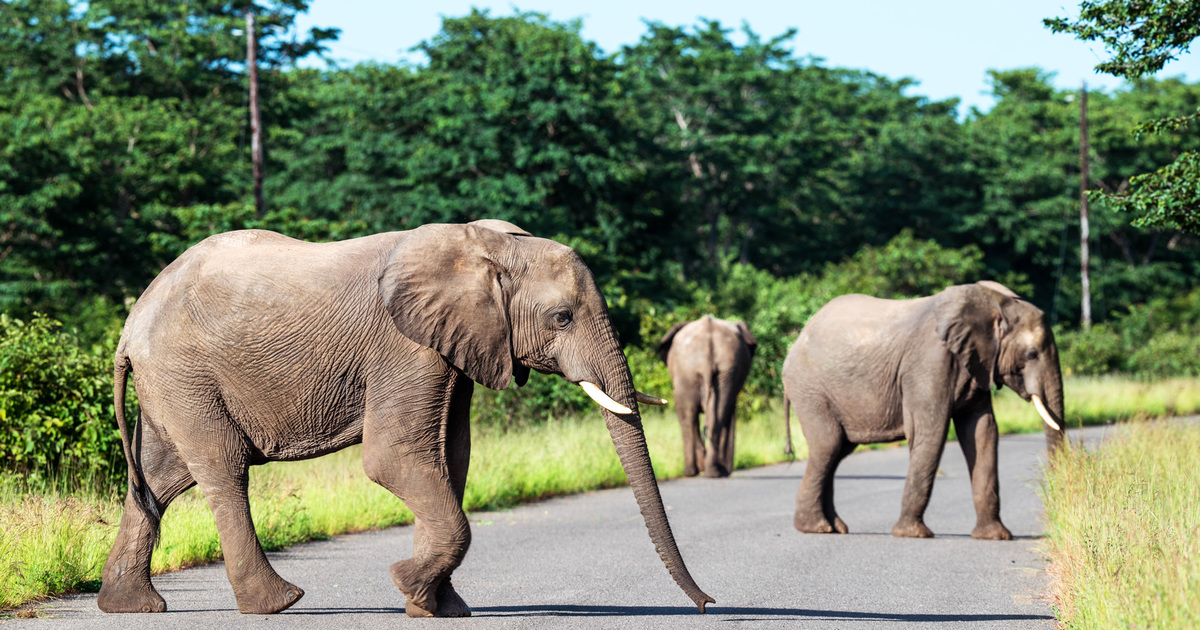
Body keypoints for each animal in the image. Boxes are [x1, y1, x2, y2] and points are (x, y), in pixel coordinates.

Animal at [97, 220, 714, 617]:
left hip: (173, 382)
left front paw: (439, 608)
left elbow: (450, 457)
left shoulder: (455, 344)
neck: (488, 246)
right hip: (186, 373)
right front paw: (408, 587)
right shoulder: (404, 344)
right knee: (223, 469)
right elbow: (393, 457)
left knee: (159, 478)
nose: (709, 603)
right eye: (562, 318)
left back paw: (132, 607)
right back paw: (278, 603)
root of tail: (130, 325)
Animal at [658, 316, 757, 478]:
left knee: (690, 416)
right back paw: (708, 472)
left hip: (701, 371)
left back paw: (701, 472)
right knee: (703, 416)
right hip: (708, 371)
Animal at [781, 281, 1064, 541]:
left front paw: (995, 537)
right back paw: (816, 528)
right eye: (1031, 354)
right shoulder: (929, 363)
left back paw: (835, 528)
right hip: (809, 388)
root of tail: (797, 339)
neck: (994, 303)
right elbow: (930, 432)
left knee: (838, 450)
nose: (1055, 494)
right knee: (828, 445)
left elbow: (983, 432)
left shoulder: (976, 365)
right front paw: (913, 534)